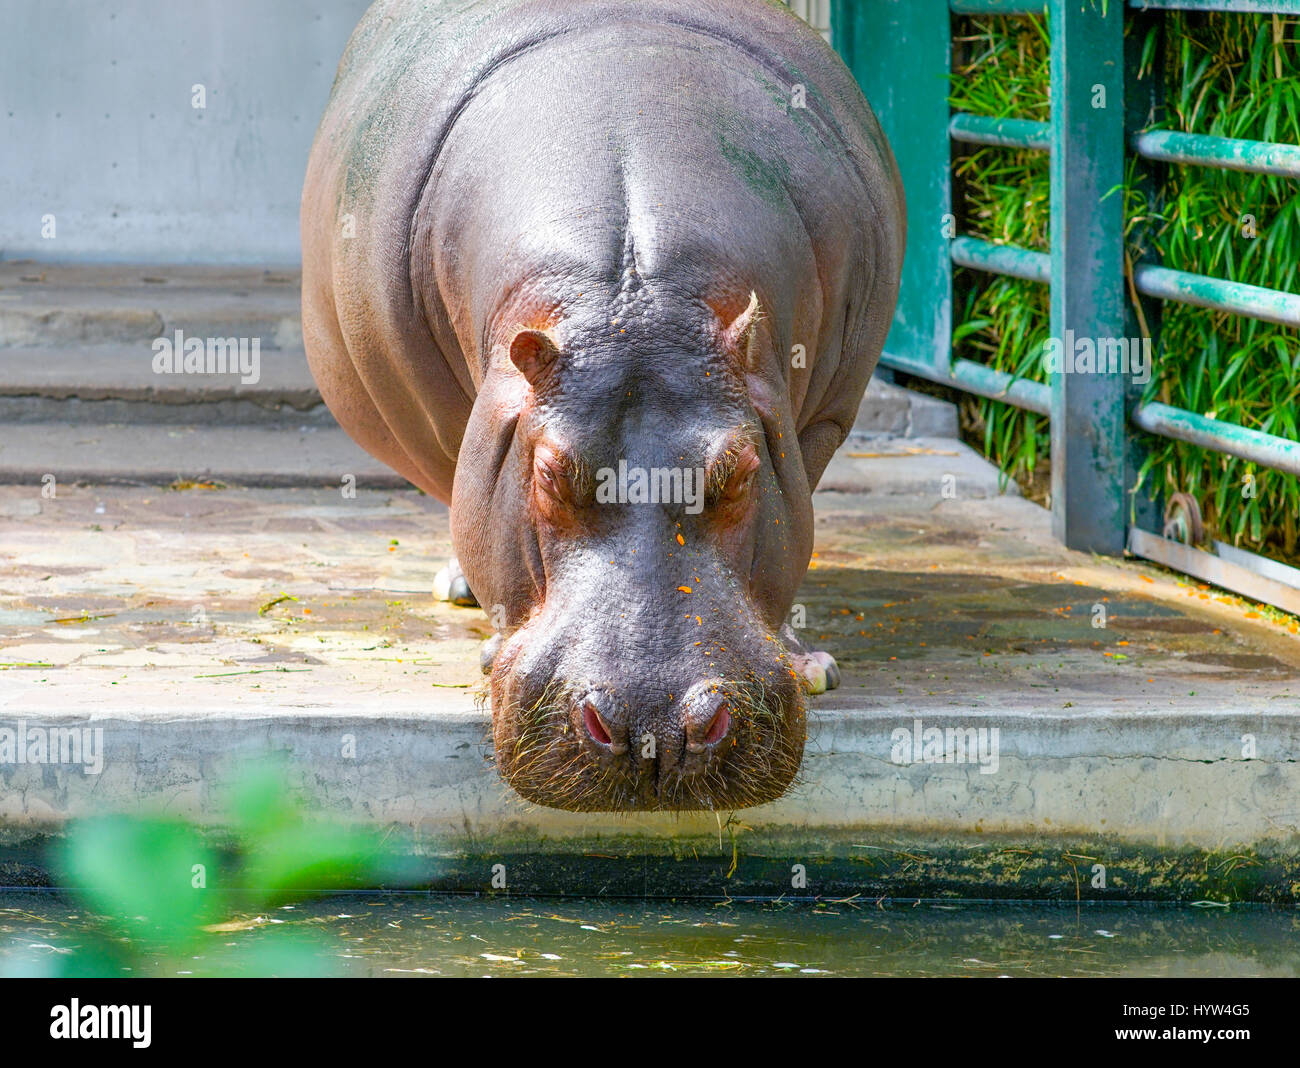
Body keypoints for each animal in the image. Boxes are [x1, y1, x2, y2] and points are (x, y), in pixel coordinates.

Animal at [301, 0, 904, 811]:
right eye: (550, 471)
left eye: (741, 470)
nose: (656, 730)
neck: (635, 298)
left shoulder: (818, 418)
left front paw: (812, 666)